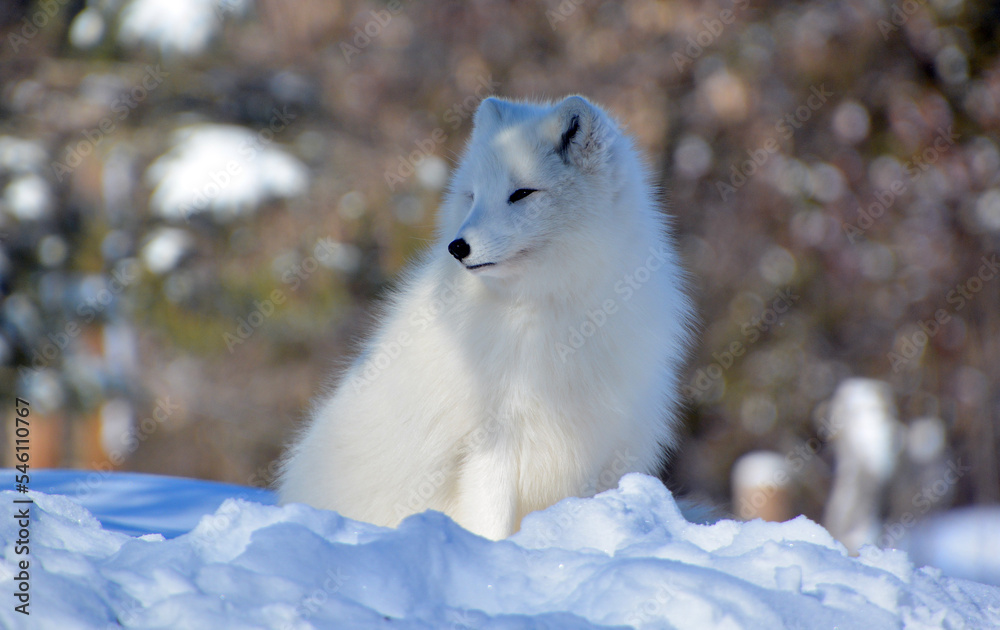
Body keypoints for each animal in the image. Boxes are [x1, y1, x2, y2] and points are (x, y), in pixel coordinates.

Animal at [278, 95, 694, 540]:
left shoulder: (597, 447)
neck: (549, 314)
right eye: (472, 196)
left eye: (522, 193)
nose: (457, 247)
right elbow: (492, 526)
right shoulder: (488, 444)